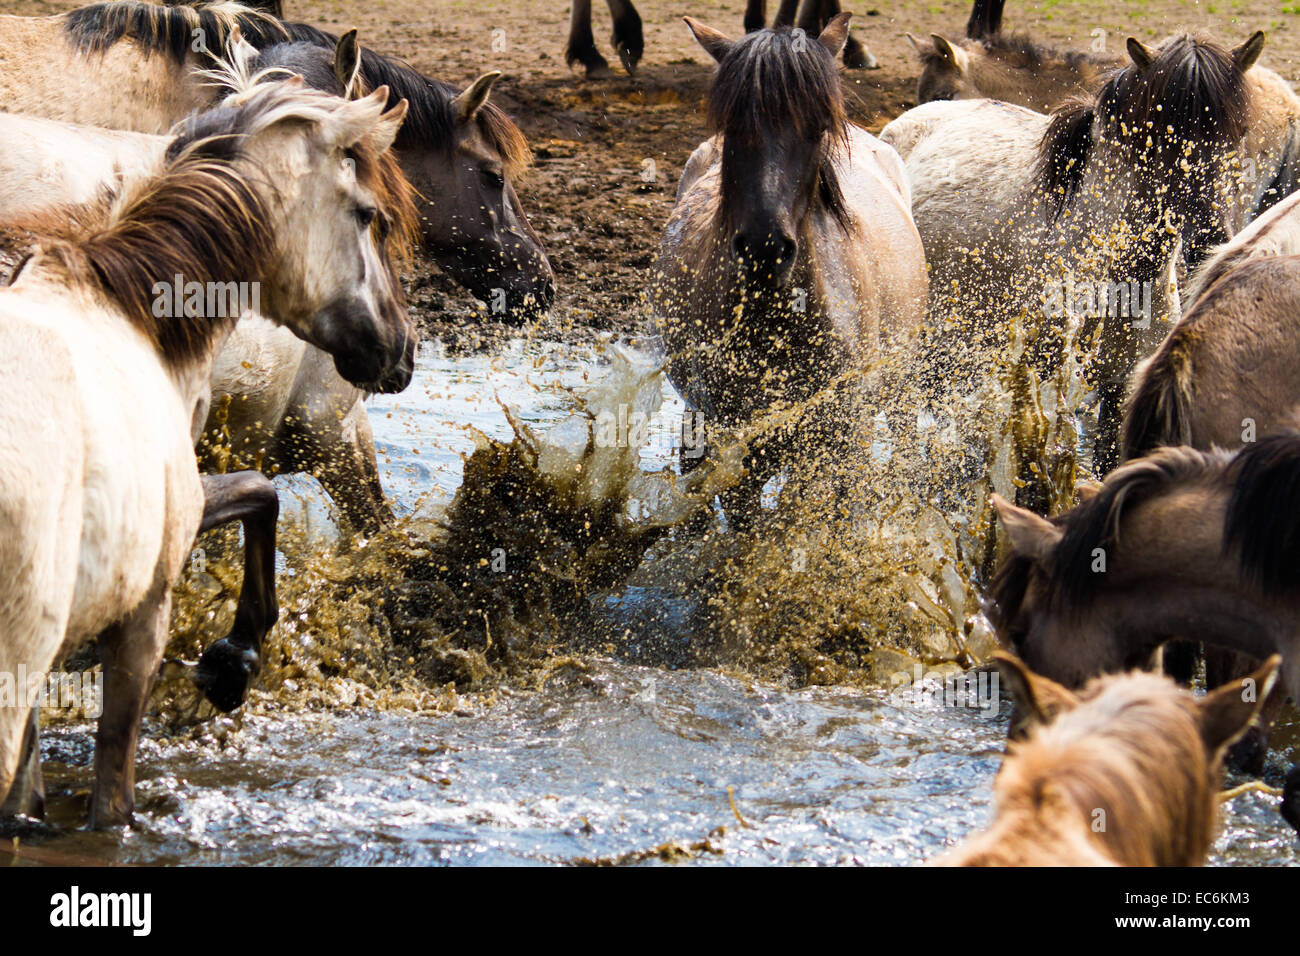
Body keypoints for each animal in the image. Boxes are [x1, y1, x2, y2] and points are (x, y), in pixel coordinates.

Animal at [0, 64, 415, 827]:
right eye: (368, 214)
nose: (401, 348)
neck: (131, 315)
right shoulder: (146, 604)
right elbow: (262, 492)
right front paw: (234, 658)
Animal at [652, 16, 927, 525]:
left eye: (817, 128)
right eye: (733, 125)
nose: (765, 248)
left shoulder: (839, 442)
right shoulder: (739, 449)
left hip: (898, 388)